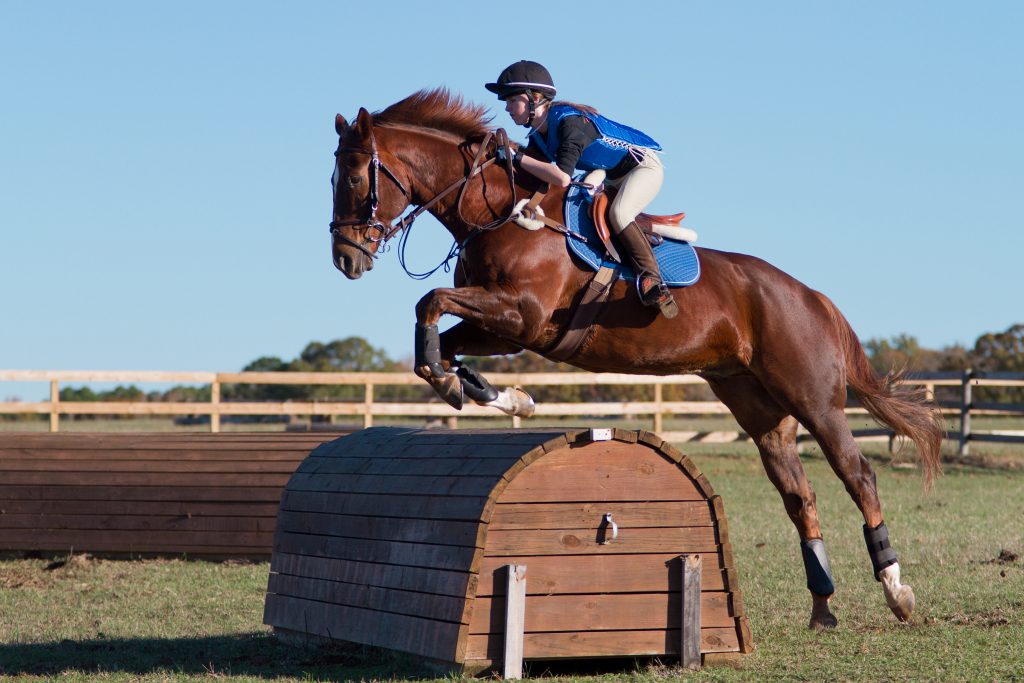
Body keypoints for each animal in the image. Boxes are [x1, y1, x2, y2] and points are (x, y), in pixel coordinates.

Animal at [329, 88, 944, 630]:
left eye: (354, 178)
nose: (345, 259)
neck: (497, 209)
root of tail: (810, 295)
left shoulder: (522, 316)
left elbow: (429, 302)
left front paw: (474, 388)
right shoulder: (502, 325)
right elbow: (436, 335)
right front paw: (491, 393)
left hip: (812, 398)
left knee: (858, 474)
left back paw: (897, 591)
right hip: (759, 408)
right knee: (800, 495)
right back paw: (822, 607)